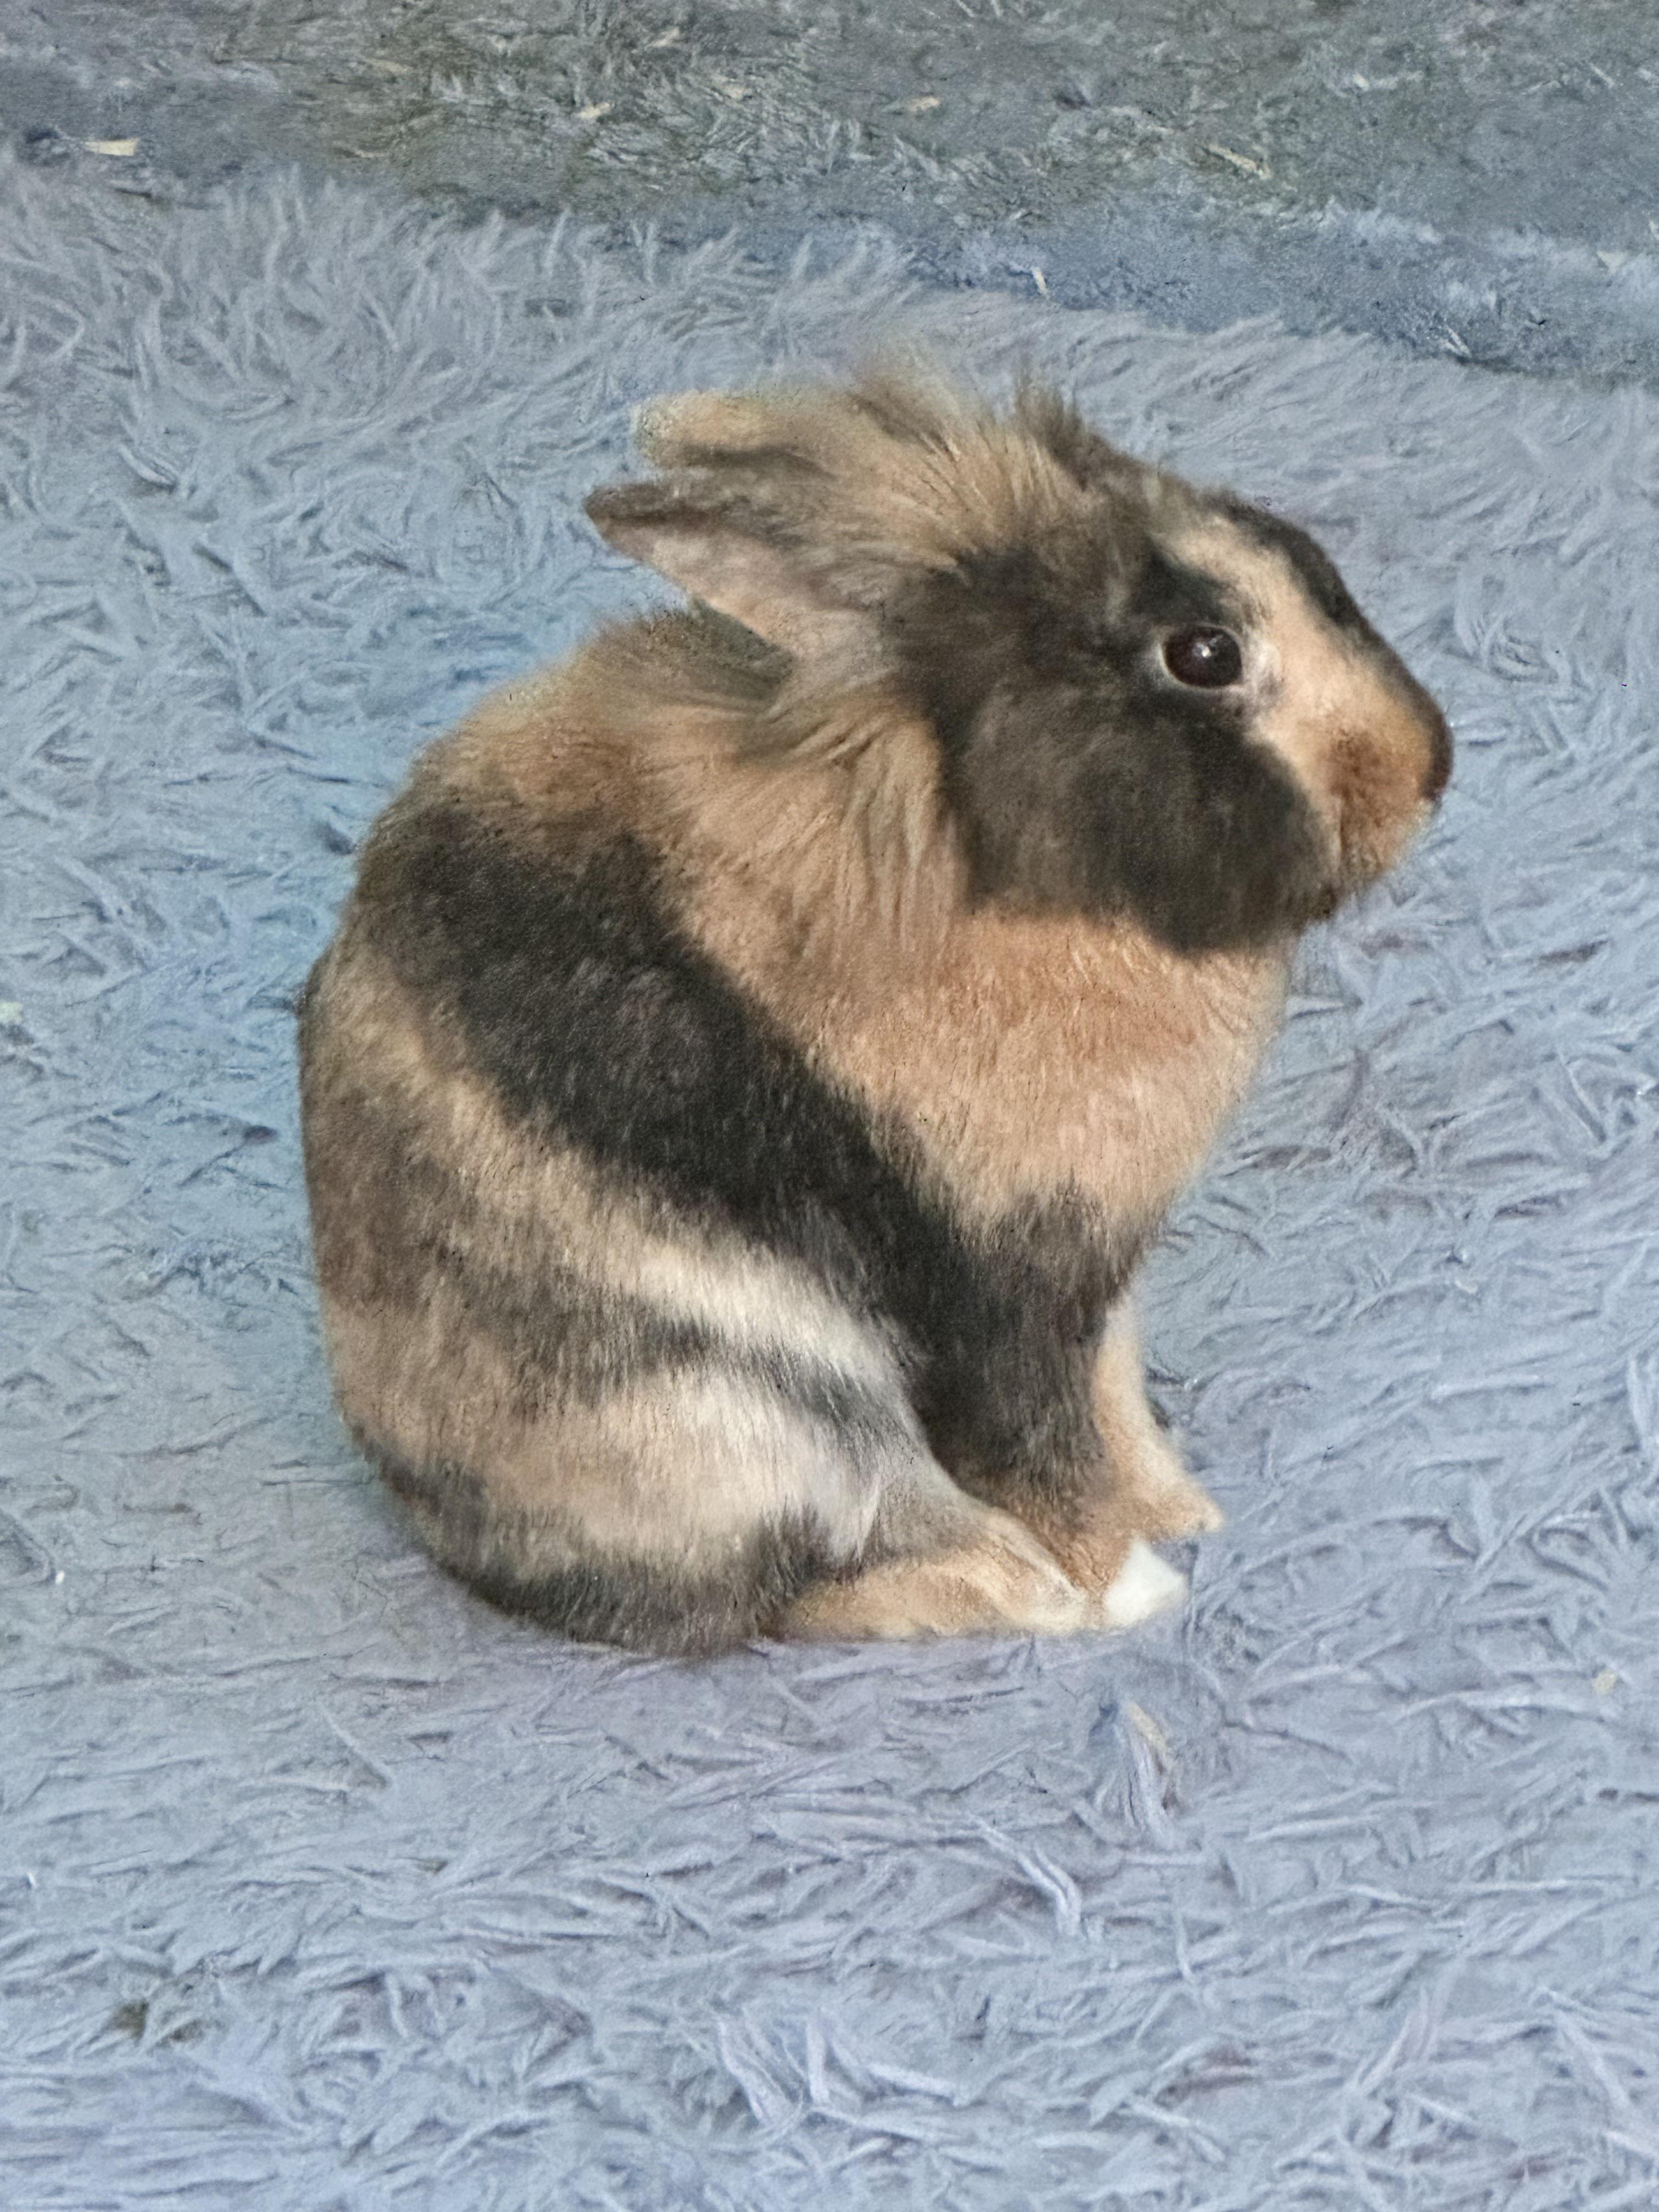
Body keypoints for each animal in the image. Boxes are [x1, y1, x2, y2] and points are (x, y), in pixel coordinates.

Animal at [297, 367, 1451, 1655]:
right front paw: (1133, 1590)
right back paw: (1017, 1587)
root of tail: (458, 1541)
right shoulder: (1000, 1297)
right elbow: (1044, 1453)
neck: (1002, 863)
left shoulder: (1094, 1286)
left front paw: (1182, 1509)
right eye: (1201, 654)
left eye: (1291, 545)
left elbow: (1112, 1410)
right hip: (750, 1414)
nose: (1428, 770)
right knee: (811, 1577)